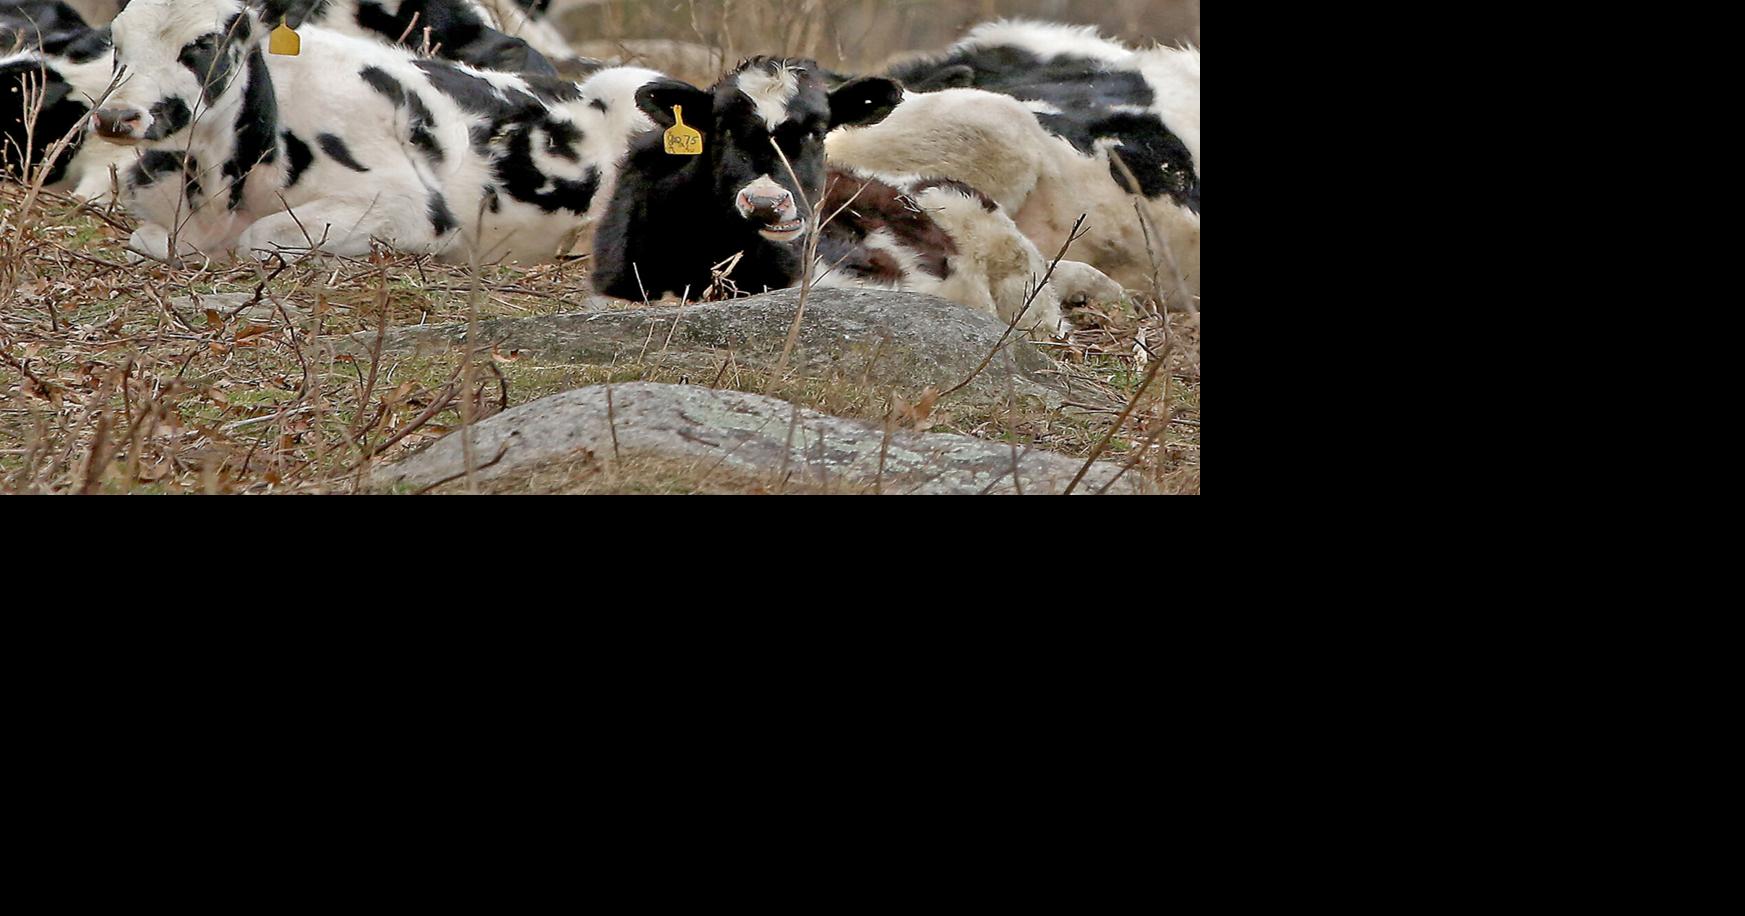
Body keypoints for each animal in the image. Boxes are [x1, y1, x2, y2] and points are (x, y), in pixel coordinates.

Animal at [89, 0, 651, 263]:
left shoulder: (409, 206)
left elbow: (260, 237)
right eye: (117, 41)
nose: (116, 117)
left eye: (204, 43)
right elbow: (147, 238)